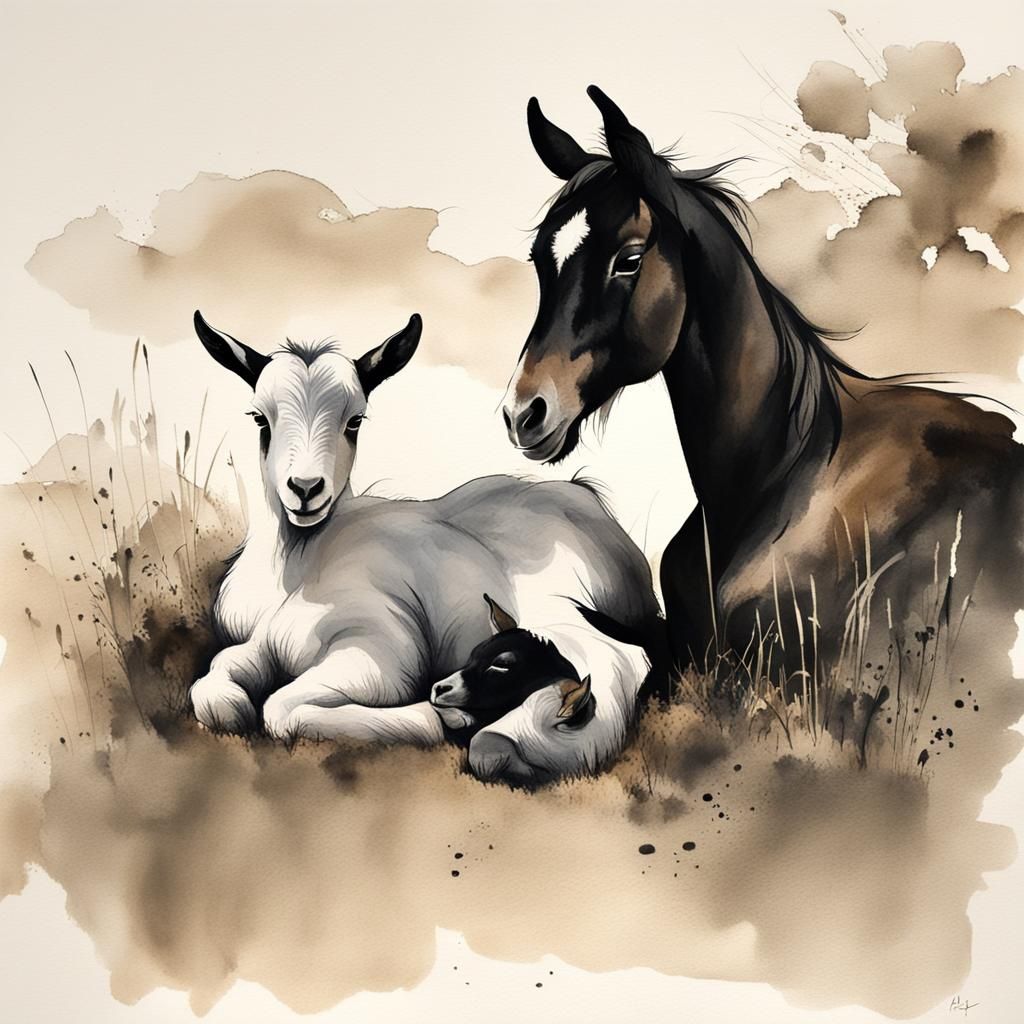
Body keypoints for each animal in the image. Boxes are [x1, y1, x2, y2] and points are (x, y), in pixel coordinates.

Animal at [188, 309, 661, 782]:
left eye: (354, 420)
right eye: (260, 418)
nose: (305, 489)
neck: (302, 565)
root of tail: (580, 492)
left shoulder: (377, 656)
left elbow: (282, 710)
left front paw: (433, 718)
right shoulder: (261, 643)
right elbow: (216, 680)